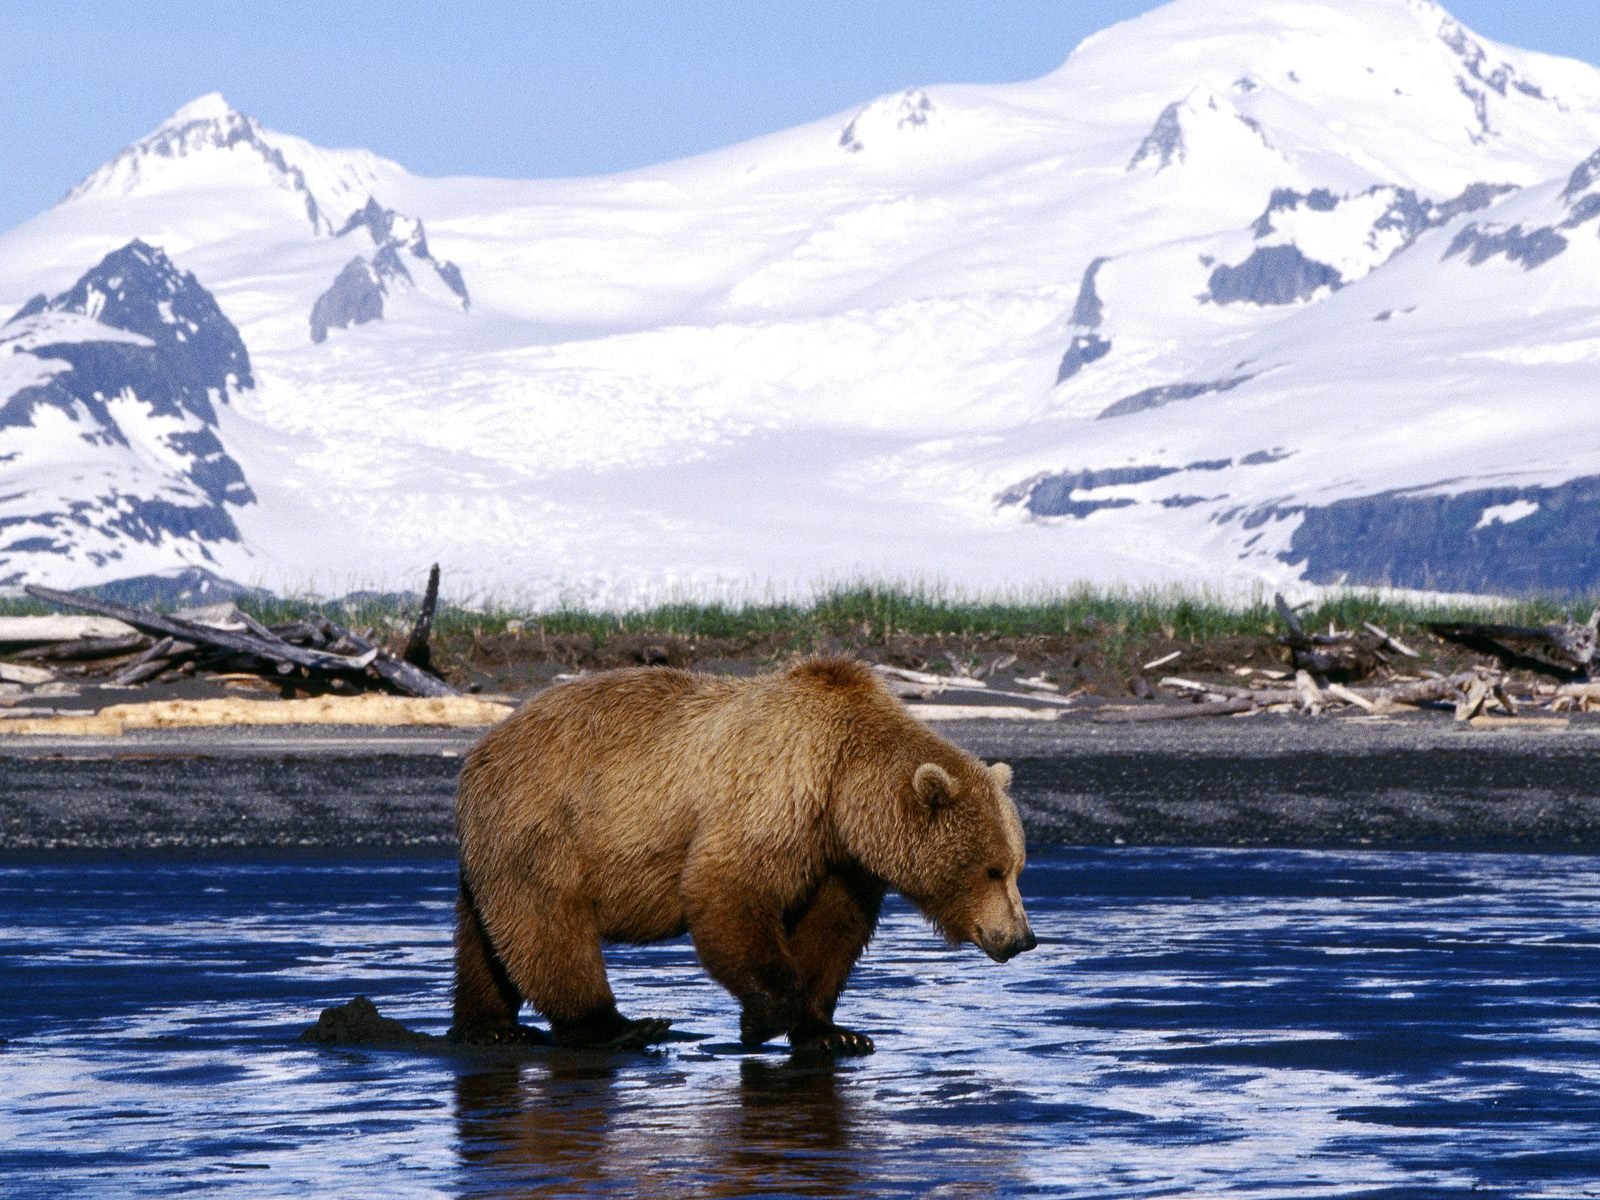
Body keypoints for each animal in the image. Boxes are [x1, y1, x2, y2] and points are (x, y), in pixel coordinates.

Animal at [450, 656, 1035, 1056]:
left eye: (1017, 866)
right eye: (991, 869)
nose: (1022, 938)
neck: (843, 785)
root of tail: (482, 747)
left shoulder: (840, 858)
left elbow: (832, 930)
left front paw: (833, 1033)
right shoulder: (778, 793)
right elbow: (727, 887)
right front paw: (761, 1021)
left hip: (499, 842)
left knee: (486, 936)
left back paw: (491, 1026)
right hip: (546, 824)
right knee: (548, 925)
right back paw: (617, 1026)